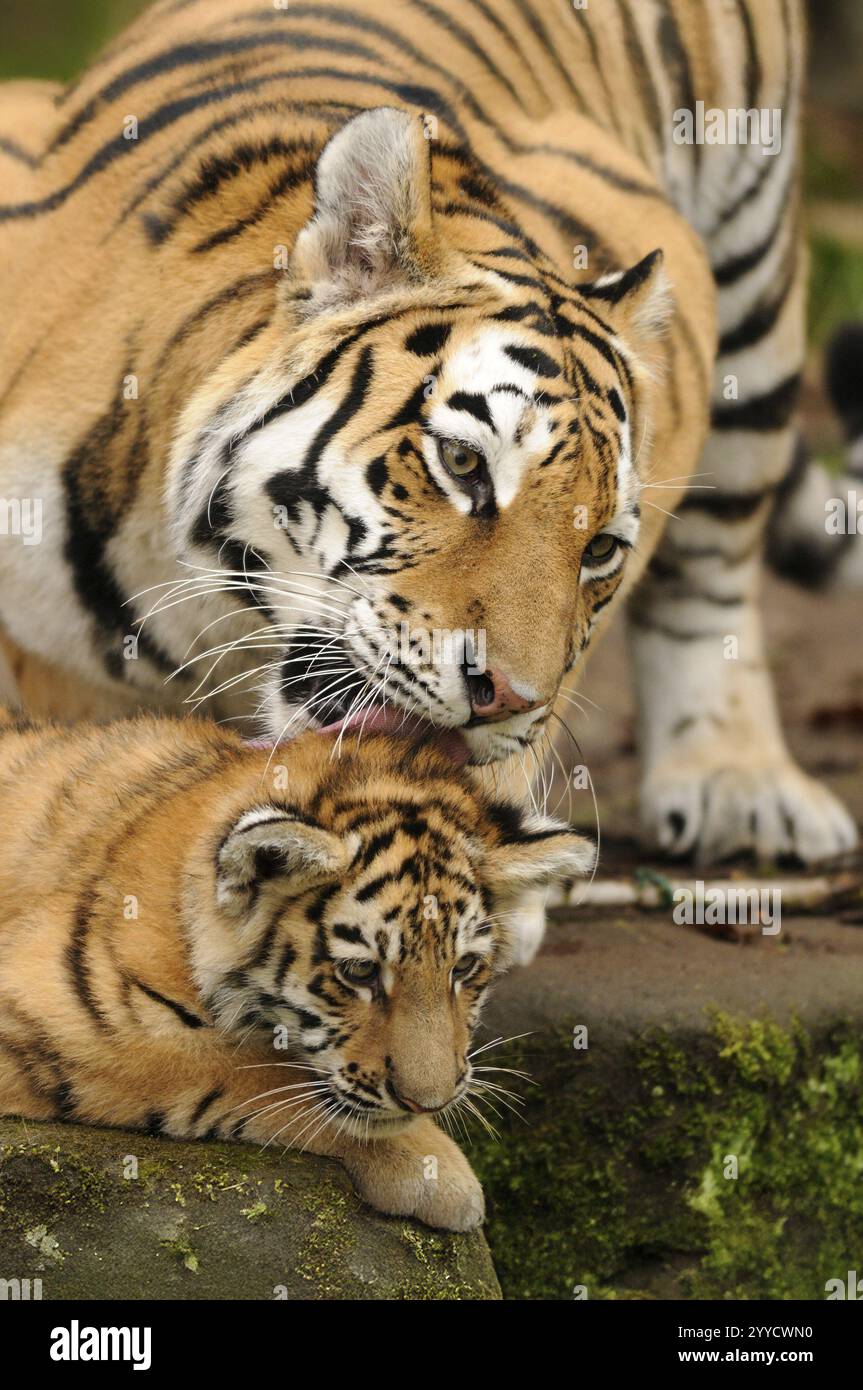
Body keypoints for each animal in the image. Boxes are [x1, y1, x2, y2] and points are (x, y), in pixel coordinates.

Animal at [0, 0, 858, 968]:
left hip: (751, 276)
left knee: (714, 571)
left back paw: (736, 780)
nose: (503, 698)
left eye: (599, 548)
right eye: (463, 465)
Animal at [0, 707, 592, 1231]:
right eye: (359, 973)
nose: (432, 1101)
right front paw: (434, 1169)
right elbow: (251, 1067)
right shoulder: (63, 1010)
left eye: (465, 966)